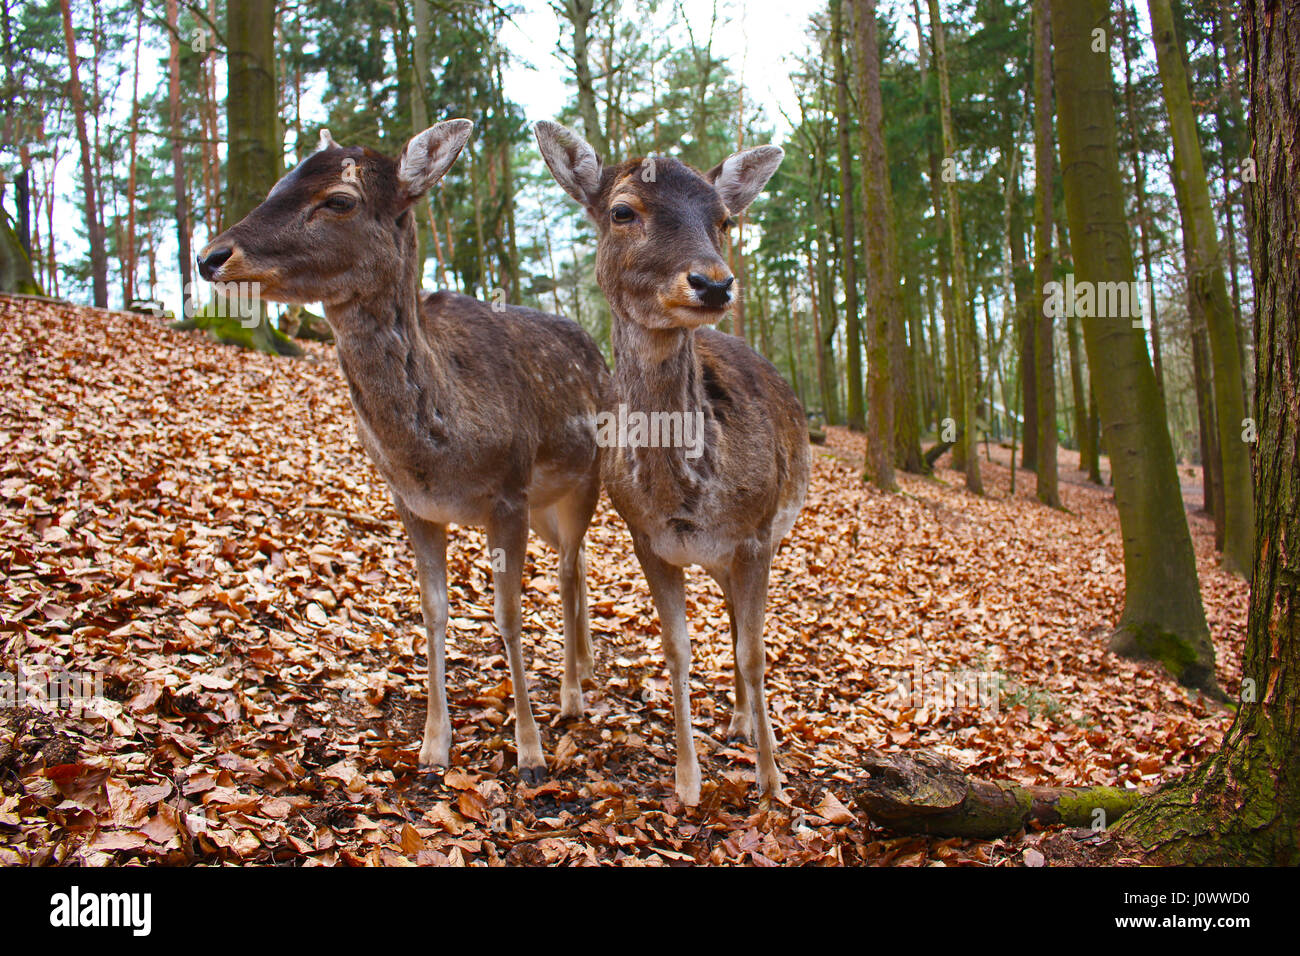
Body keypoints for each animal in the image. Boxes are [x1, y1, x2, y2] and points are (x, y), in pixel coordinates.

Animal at [195, 120, 612, 785]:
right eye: (278, 182)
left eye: (339, 200)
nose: (210, 256)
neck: (441, 449)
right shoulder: (412, 505)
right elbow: (433, 612)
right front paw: (433, 746)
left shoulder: (508, 492)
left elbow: (507, 615)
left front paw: (529, 752)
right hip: (549, 505)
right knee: (577, 568)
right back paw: (588, 668)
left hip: (586, 478)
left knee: (570, 568)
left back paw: (573, 696)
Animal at [535, 121, 810, 805]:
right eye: (622, 211)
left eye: (725, 219)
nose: (714, 283)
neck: (685, 494)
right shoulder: (649, 540)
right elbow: (678, 651)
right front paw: (687, 781)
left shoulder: (757, 534)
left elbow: (754, 652)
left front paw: (773, 782)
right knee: (732, 618)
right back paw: (737, 722)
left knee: (742, 627)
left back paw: (745, 725)